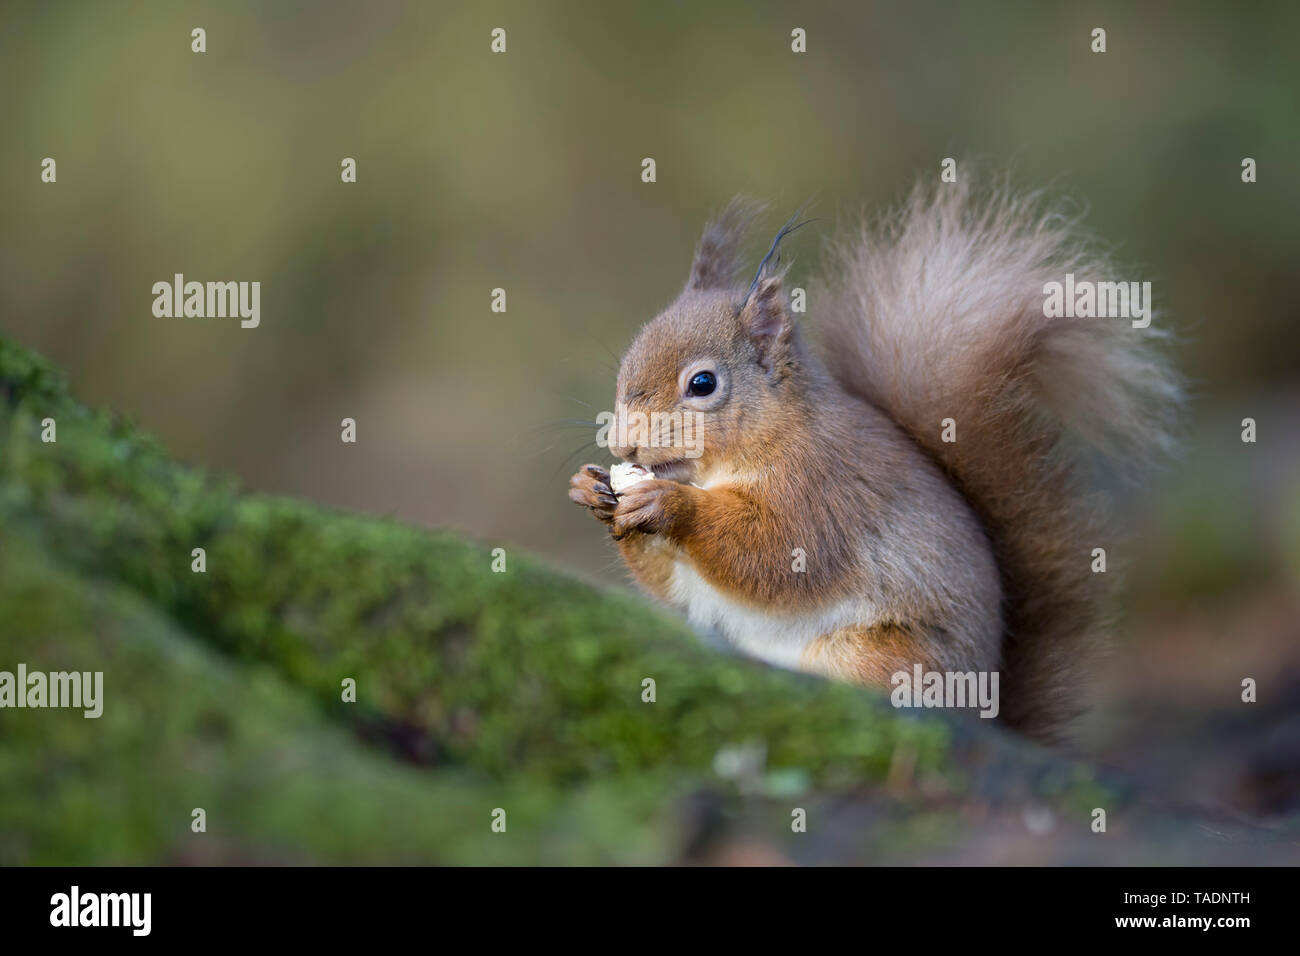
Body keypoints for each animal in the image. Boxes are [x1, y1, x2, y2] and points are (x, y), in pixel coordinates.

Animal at [568, 174, 1180, 741]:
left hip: (877, 660)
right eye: (628, 357)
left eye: (702, 383)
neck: (756, 442)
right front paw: (589, 488)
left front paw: (669, 504)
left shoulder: (819, 489)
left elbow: (772, 552)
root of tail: (987, 715)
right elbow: (669, 583)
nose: (623, 445)